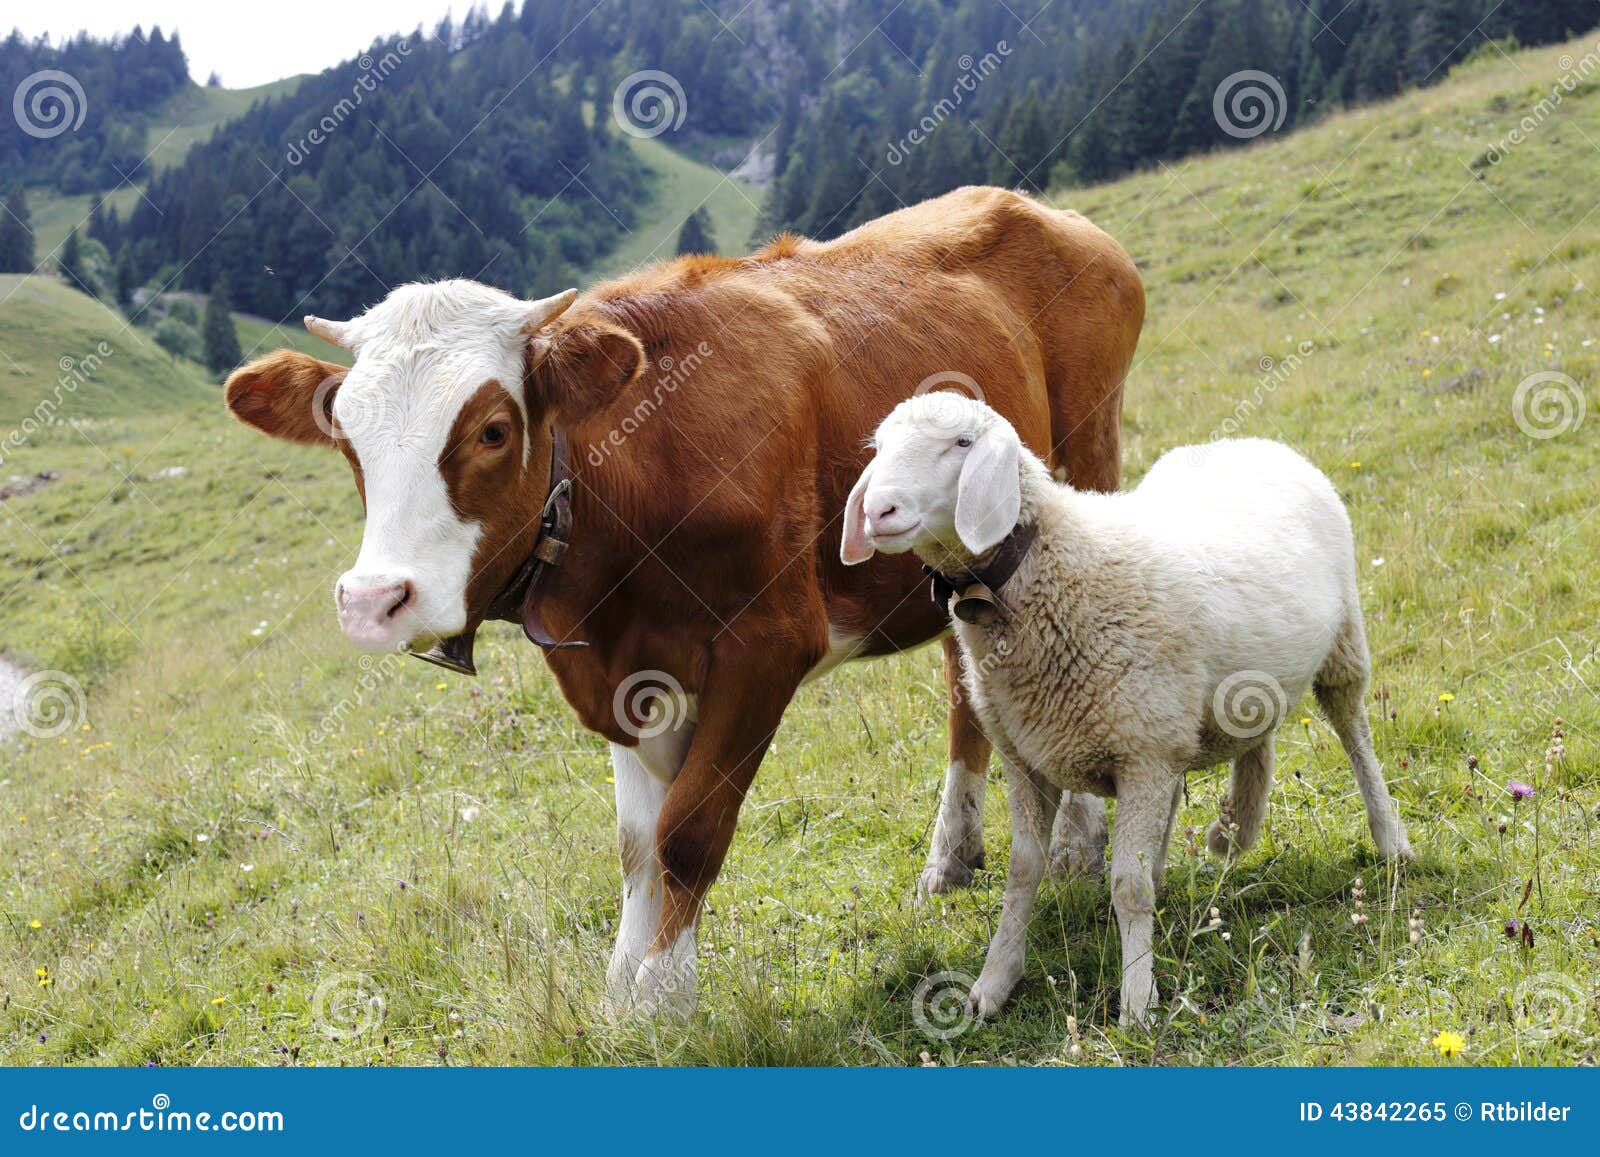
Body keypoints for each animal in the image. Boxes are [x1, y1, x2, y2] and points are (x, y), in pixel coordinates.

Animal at [224, 186, 1145, 1013]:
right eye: (348, 439)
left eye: (491, 430)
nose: (373, 599)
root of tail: (1038, 206)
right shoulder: (621, 673)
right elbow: (638, 843)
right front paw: (621, 990)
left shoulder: (767, 645)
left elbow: (689, 830)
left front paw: (665, 995)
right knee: (963, 683)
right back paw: (951, 855)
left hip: (1090, 454)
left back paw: (1076, 838)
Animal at [840, 392, 1412, 1025]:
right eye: (879, 448)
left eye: (962, 443)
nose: (879, 510)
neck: (1056, 572)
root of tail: (1250, 443)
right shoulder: (1029, 759)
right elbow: (1024, 872)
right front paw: (994, 981)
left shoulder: (1142, 753)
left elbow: (1128, 887)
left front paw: (1137, 1000)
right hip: (1223, 689)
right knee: (1253, 740)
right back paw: (1234, 827)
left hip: (1342, 646)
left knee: (1354, 734)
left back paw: (1390, 840)